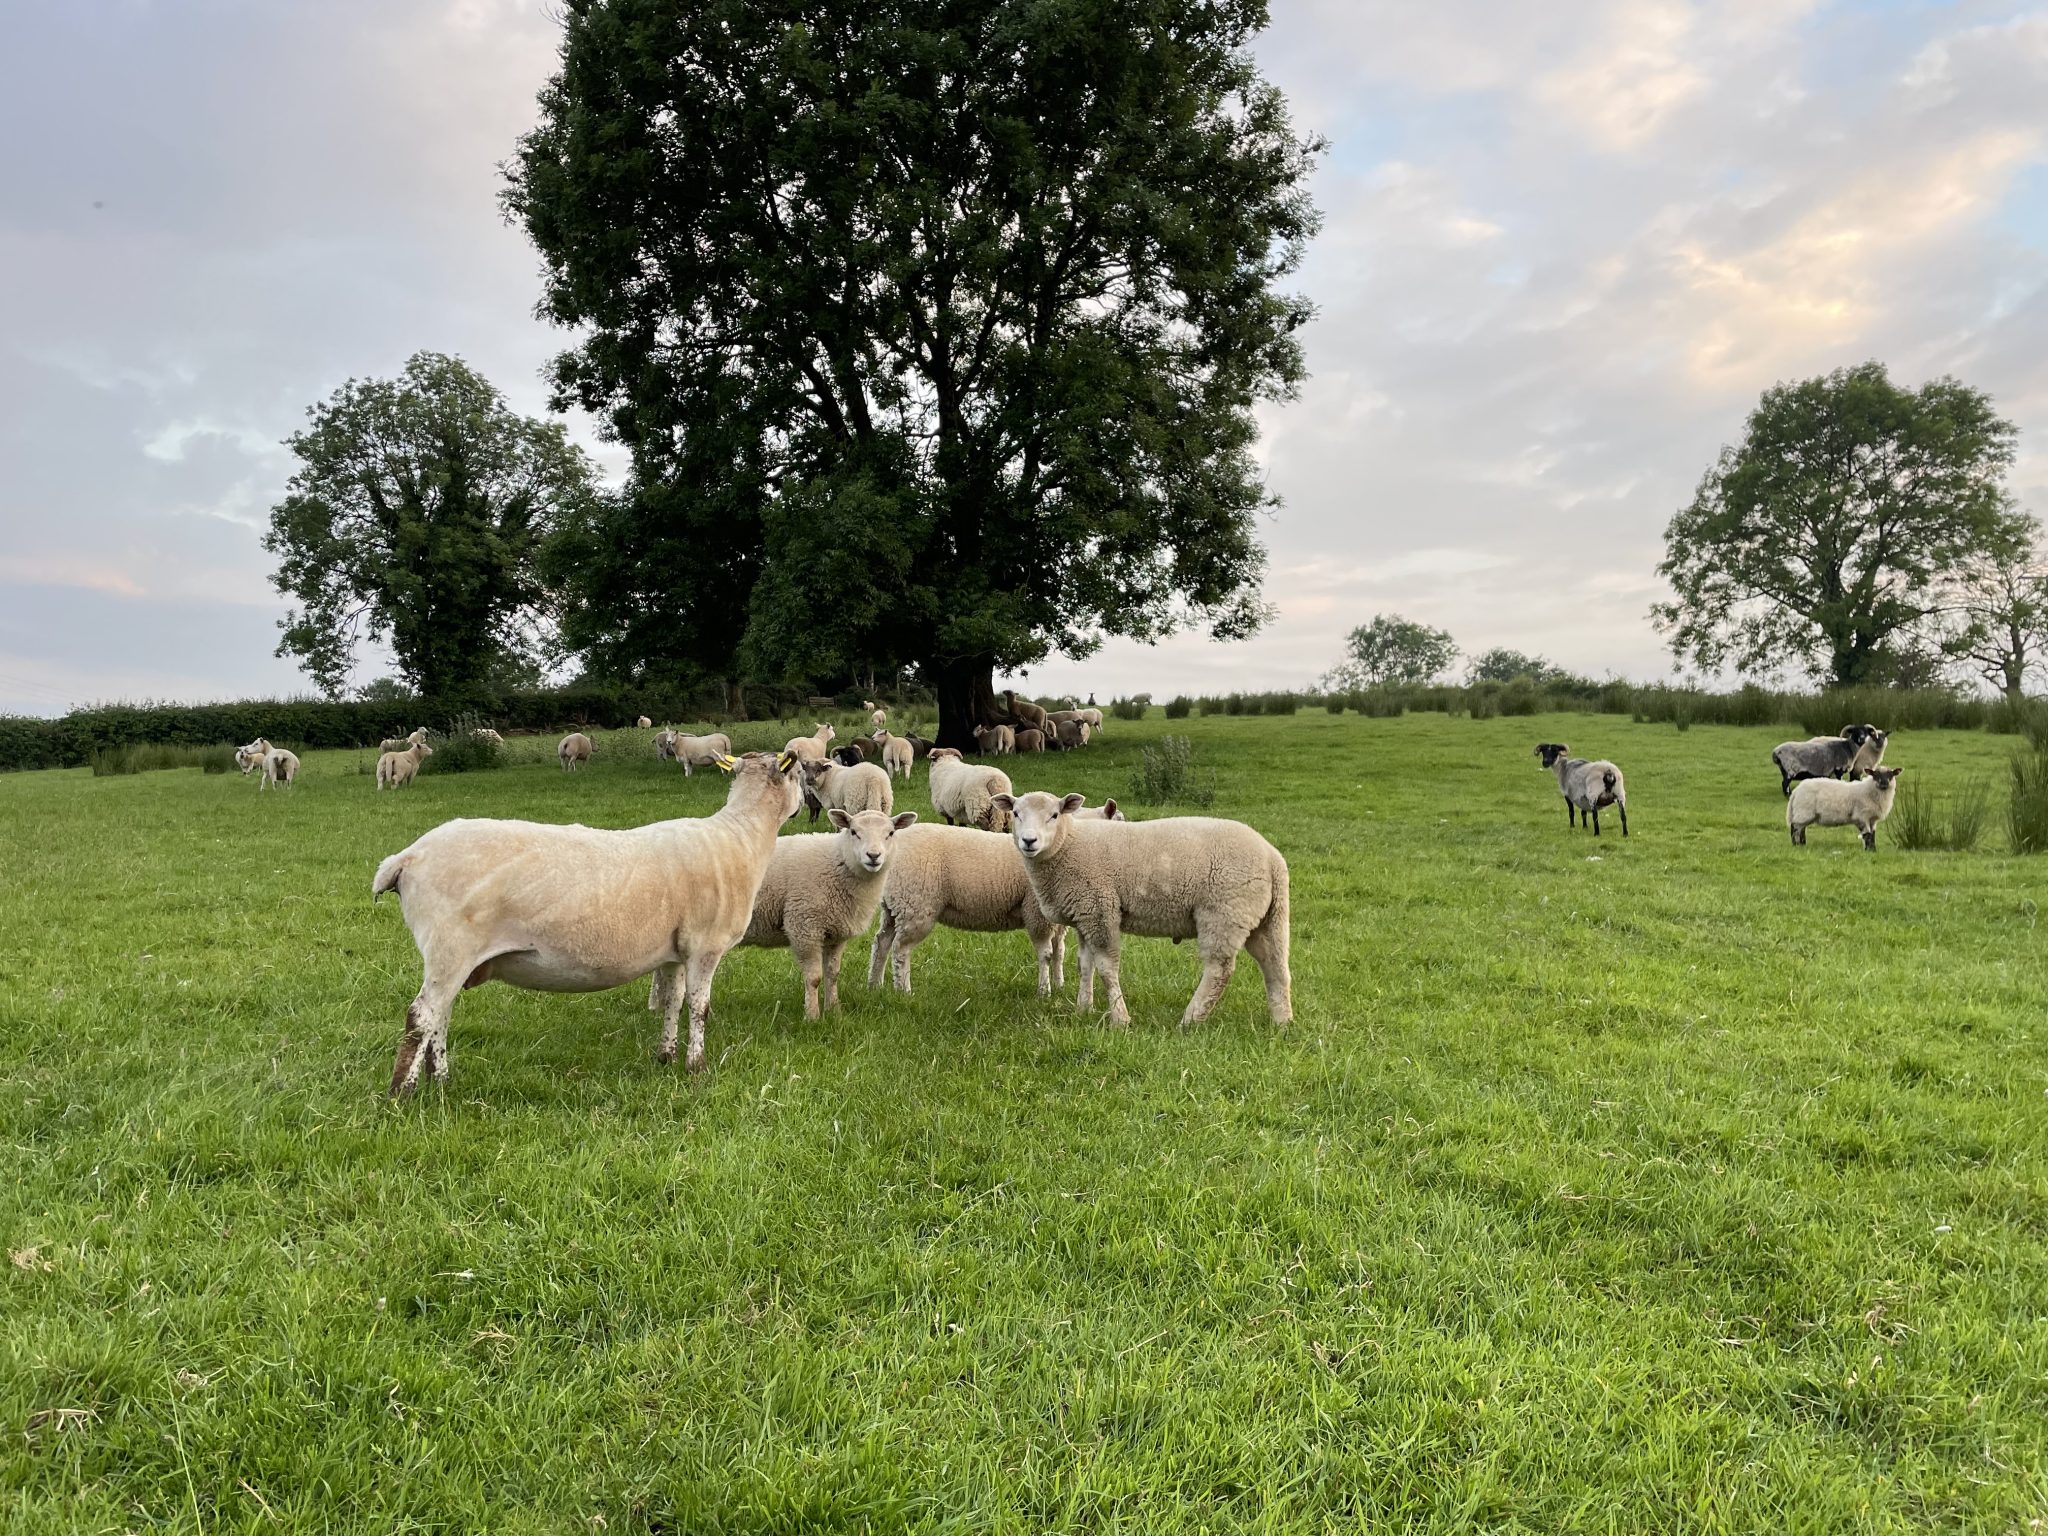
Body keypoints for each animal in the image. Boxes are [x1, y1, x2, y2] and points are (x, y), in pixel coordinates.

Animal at [372, 748, 804, 1090]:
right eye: (799, 774)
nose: (805, 803)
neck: (741, 836)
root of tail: (406, 858)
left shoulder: (674, 951)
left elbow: (673, 1001)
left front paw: (665, 1056)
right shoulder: (705, 946)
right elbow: (699, 1008)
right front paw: (696, 1068)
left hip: (453, 955)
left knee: (440, 1014)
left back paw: (440, 1080)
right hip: (450, 946)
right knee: (422, 1016)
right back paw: (402, 1093)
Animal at [738, 808, 919, 1017]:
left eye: (890, 833)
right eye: (854, 832)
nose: (873, 856)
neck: (837, 860)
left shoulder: (836, 932)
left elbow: (833, 974)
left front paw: (834, 1011)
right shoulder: (804, 927)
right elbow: (814, 978)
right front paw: (812, 1015)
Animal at [990, 790, 1291, 1029]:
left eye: (1054, 815)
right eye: (1015, 813)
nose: (1029, 841)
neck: (1068, 845)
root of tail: (1272, 858)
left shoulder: (1100, 908)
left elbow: (1106, 967)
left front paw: (1120, 1019)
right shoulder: (1085, 913)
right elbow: (1085, 964)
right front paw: (1083, 1009)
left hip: (1223, 913)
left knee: (1220, 970)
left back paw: (1190, 1020)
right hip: (1266, 917)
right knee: (1275, 965)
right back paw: (1282, 1022)